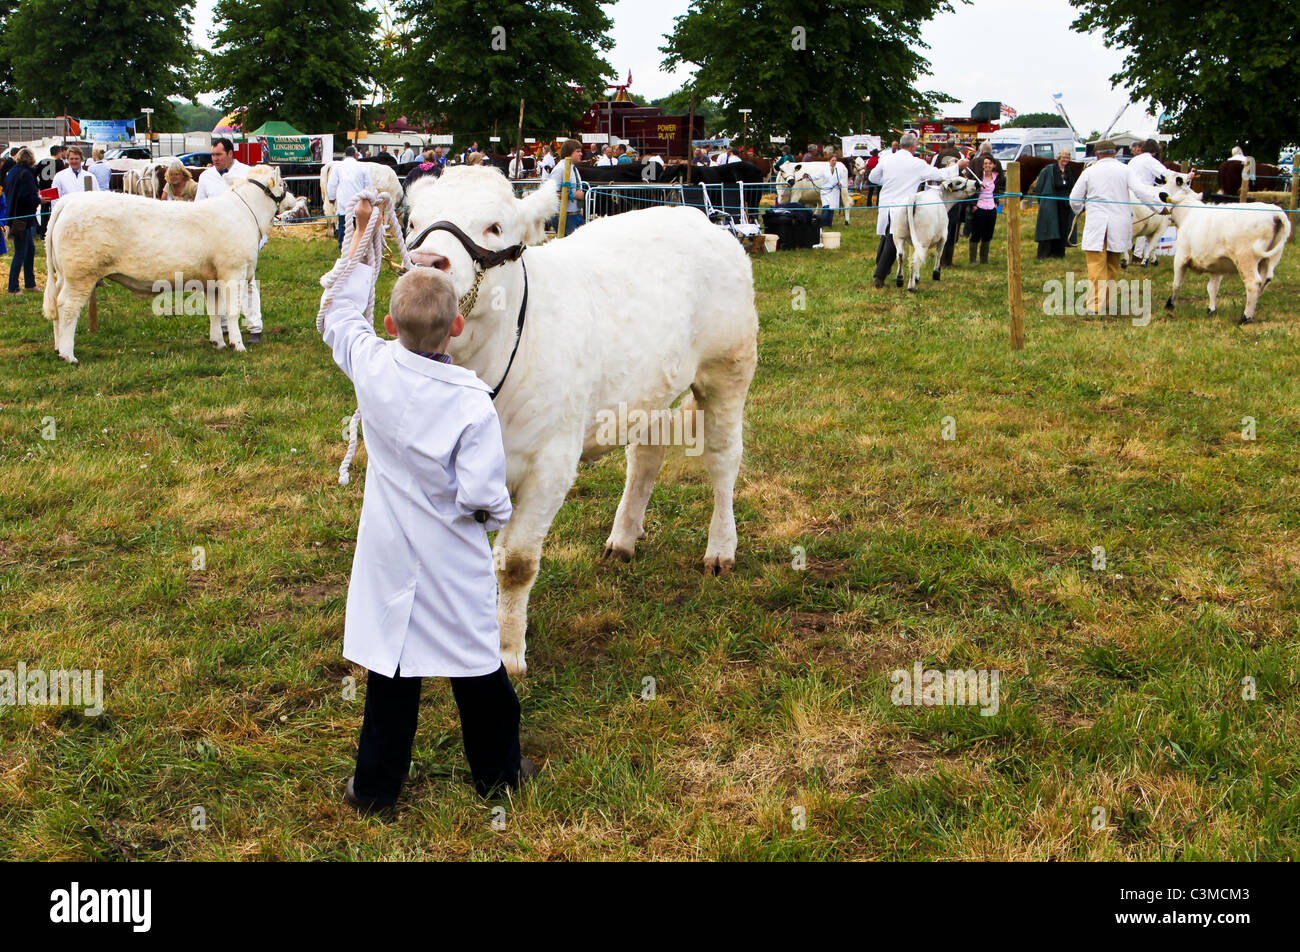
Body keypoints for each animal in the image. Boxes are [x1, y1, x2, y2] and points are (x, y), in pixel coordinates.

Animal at [42, 165, 306, 362]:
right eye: (283, 184)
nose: (295, 198)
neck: (246, 213)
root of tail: (69, 202)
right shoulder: (233, 271)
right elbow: (231, 311)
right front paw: (238, 345)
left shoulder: (212, 280)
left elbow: (214, 311)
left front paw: (218, 342)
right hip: (81, 274)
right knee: (67, 307)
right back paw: (68, 355)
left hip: (64, 275)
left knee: (56, 305)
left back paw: (57, 348)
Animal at [402, 166, 758, 675]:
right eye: (413, 224)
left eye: (494, 227)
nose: (426, 262)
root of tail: (693, 216)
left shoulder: (551, 462)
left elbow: (516, 563)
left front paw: (507, 653)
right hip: (648, 389)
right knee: (645, 457)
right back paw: (623, 539)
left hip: (729, 366)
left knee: (723, 459)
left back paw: (720, 549)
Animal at [1159, 171, 1291, 324]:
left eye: (1169, 181)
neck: (1189, 212)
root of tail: (1275, 212)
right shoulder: (1217, 265)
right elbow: (1212, 288)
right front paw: (1211, 310)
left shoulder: (1180, 257)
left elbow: (1177, 283)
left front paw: (1169, 305)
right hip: (1270, 259)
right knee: (1265, 281)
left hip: (1246, 259)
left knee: (1253, 284)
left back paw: (1245, 317)